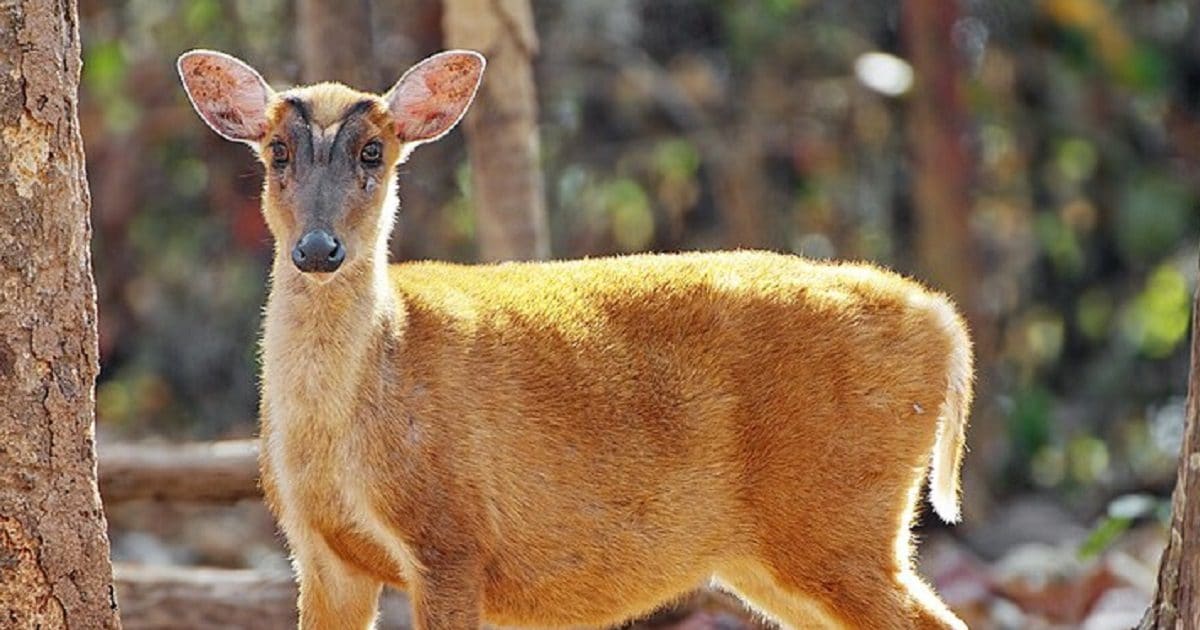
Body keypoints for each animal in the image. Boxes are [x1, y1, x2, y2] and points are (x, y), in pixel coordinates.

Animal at [177, 48, 974, 630]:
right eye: (276, 152)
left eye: (375, 152)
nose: (318, 249)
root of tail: (945, 322)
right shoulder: (318, 553)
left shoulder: (451, 535)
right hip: (779, 550)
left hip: (838, 516)